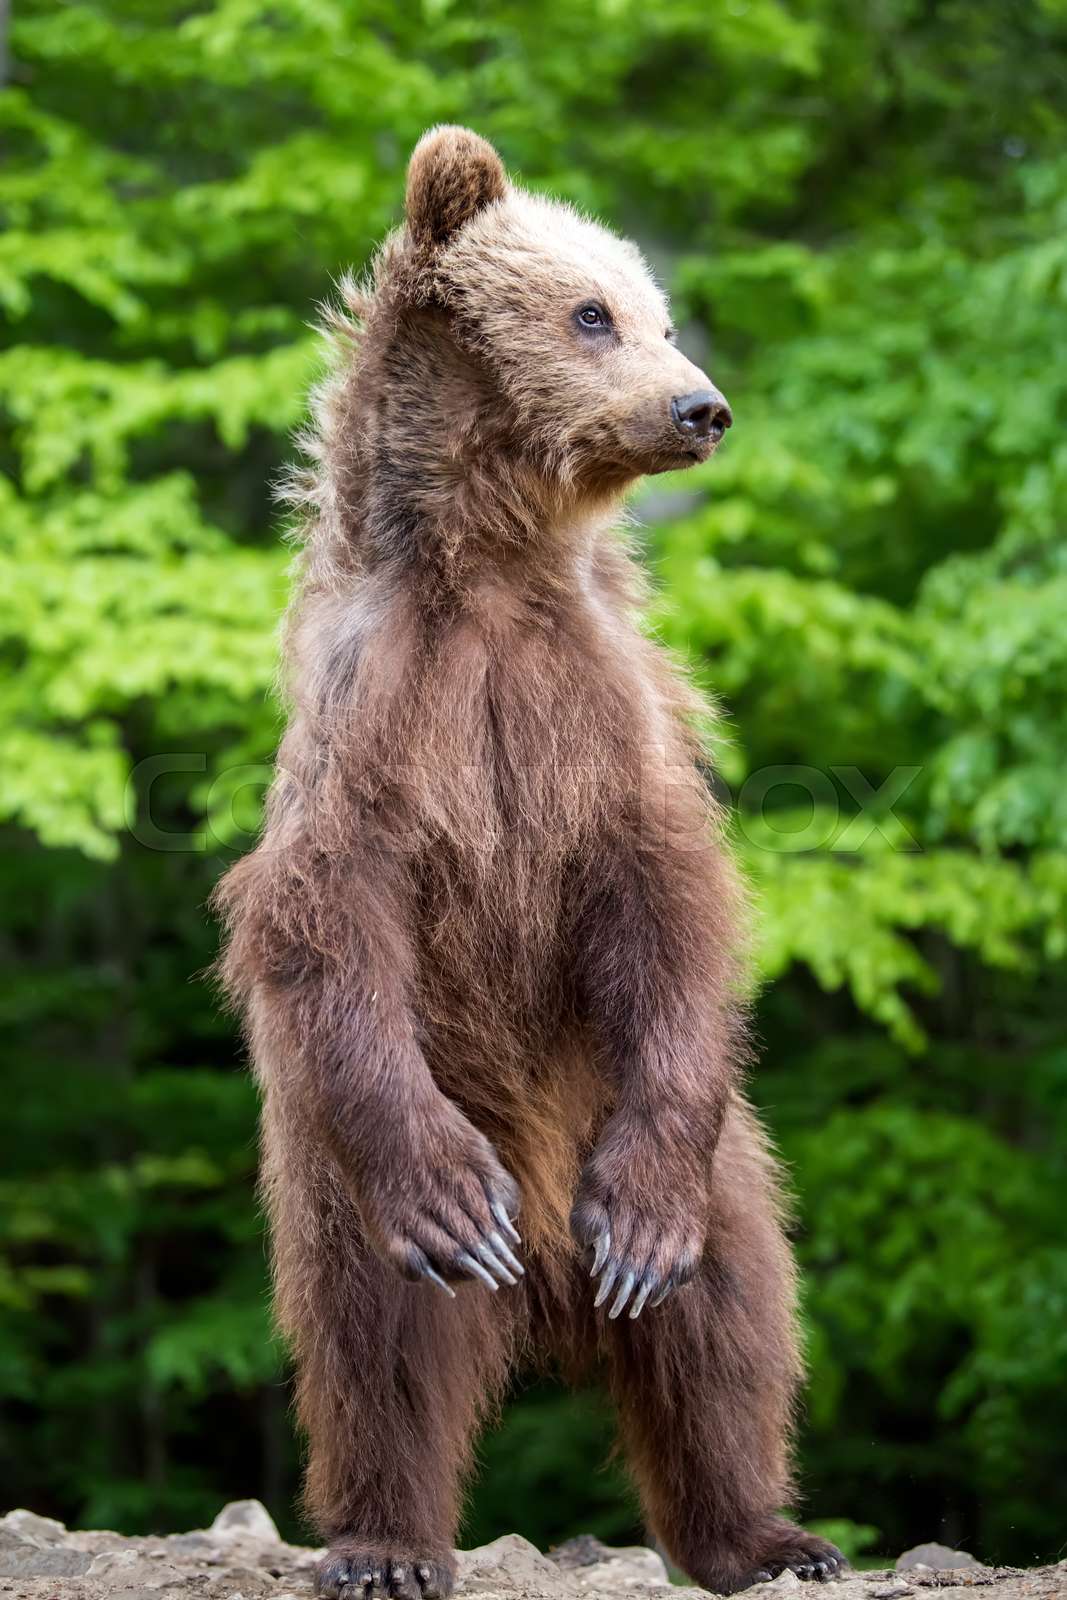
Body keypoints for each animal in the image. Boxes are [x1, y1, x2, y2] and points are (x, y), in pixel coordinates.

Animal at [214, 126, 845, 1598]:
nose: (700, 406)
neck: (493, 570)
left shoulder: (603, 716)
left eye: (657, 313)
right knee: (378, 1338)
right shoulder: (376, 714)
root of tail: (549, 1270)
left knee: (727, 1315)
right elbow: (327, 913)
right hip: (351, 1171)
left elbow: (668, 901)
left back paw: (764, 1530)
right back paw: (386, 1540)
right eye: (590, 312)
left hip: (698, 1156)